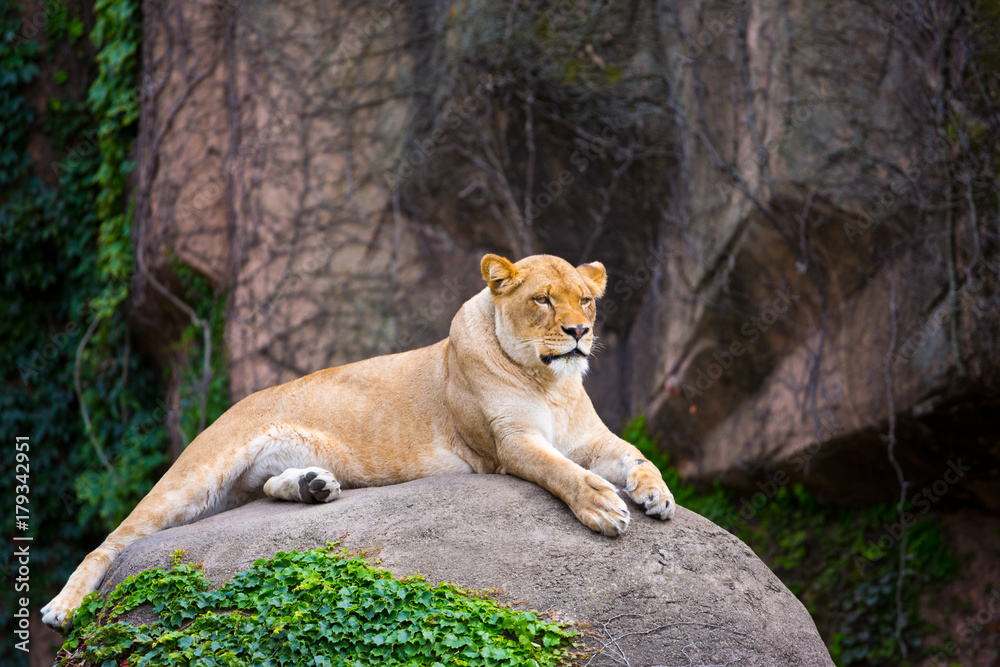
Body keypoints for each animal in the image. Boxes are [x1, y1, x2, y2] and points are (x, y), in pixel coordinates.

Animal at [42, 253, 675, 629]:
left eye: (586, 299)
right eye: (543, 299)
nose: (579, 331)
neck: (552, 384)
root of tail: (233, 406)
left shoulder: (594, 438)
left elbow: (637, 457)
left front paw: (657, 496)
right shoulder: (509, 446)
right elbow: (564, 472)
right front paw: (604, 508)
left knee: (264, 489)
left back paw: (313, 484)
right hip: (194, 477)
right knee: (113, 541)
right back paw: (60, 607)